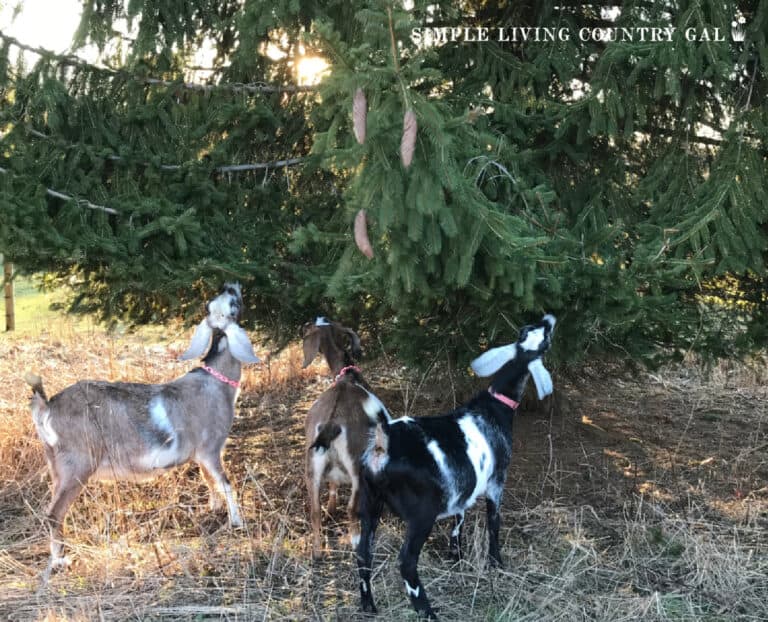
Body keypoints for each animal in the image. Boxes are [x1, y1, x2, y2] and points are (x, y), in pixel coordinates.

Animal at [25, 283, 260, 573]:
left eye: (215, 303)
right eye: (233, 304)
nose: (230, 285)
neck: (215, 382)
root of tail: (46, 407)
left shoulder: (200, 455)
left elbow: (208, 479)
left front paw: (214, 508)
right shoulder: (210, 449)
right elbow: (225, 482)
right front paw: (237, 521)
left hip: (56, 466)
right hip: (76, 467)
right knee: (53, 515)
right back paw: (60, 560)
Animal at [301, 316, 375, 559]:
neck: (347, 376)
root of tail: (332, 423)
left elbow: (332, 485)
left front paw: (331, 509)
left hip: (312, 468)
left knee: (314, 511)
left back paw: (317, 552)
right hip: (357, 468)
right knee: (352, 509)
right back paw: (356, 542)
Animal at [356, 314, 556, 619]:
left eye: (527, 329)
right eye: (545, 341)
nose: (548, 319)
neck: (494, 407)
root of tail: (384, 442)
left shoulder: (462, 484)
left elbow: (460, 516)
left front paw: (456, 555)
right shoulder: (497, 479)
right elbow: (493, 521)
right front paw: (496, 562)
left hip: (370, 501)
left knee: (362, 553)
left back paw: (369, 605)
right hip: (422, 513)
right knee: (406, 561)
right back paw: (427, 612)